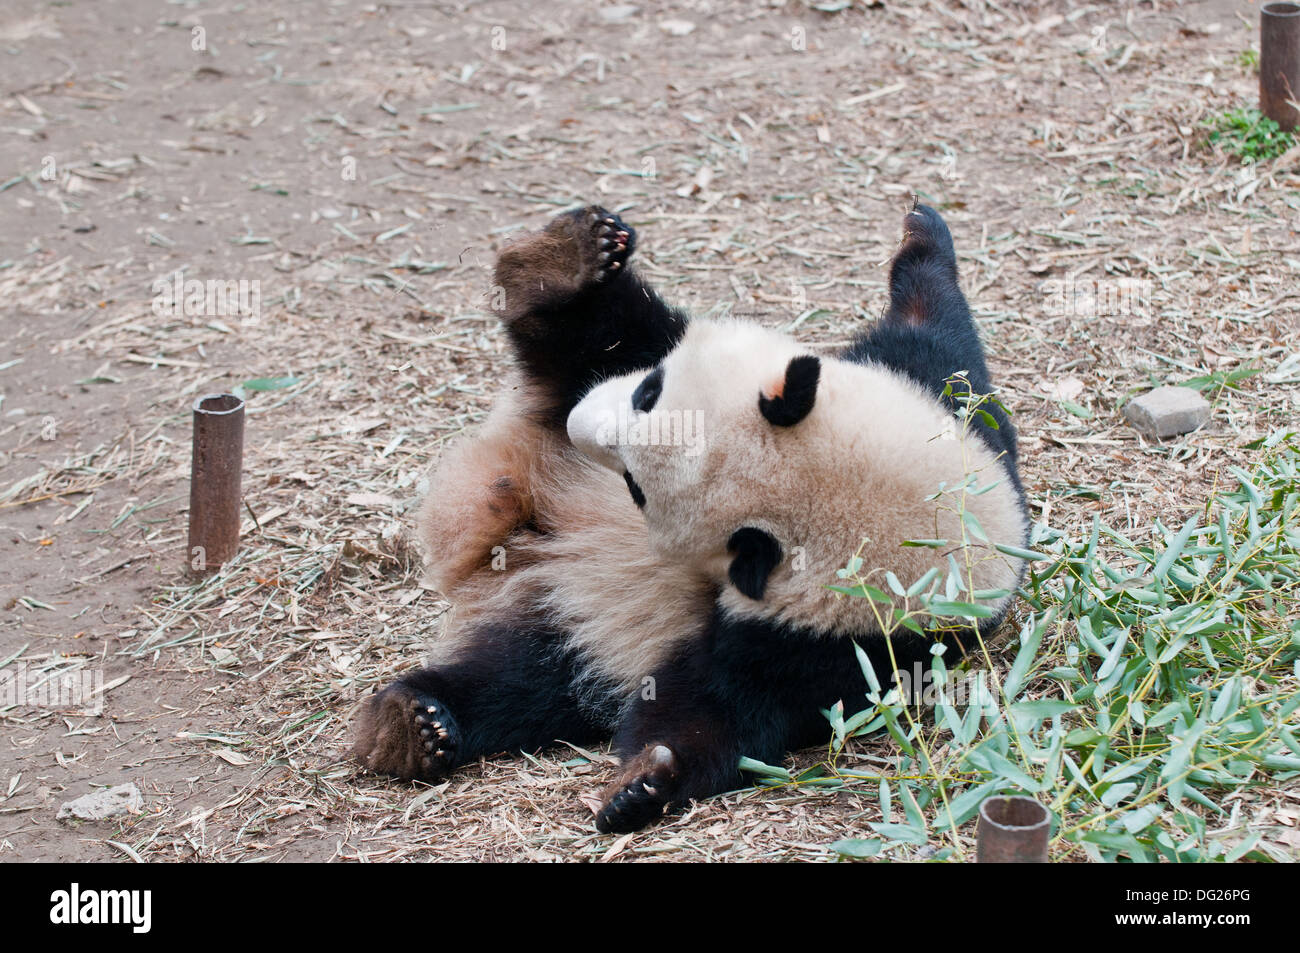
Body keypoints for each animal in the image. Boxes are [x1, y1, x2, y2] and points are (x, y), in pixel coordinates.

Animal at [350, 201, 1028, 834]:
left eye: (636, 487)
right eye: (649, 388)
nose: (578, 424)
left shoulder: (832, 643)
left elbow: (723, 707)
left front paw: (646, 780)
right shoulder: (930, 399)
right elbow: (937, 331)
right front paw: (922, 233)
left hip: (567, 630)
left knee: (517, 682)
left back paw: (416, 724)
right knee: (608, 328)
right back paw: (565, 260)